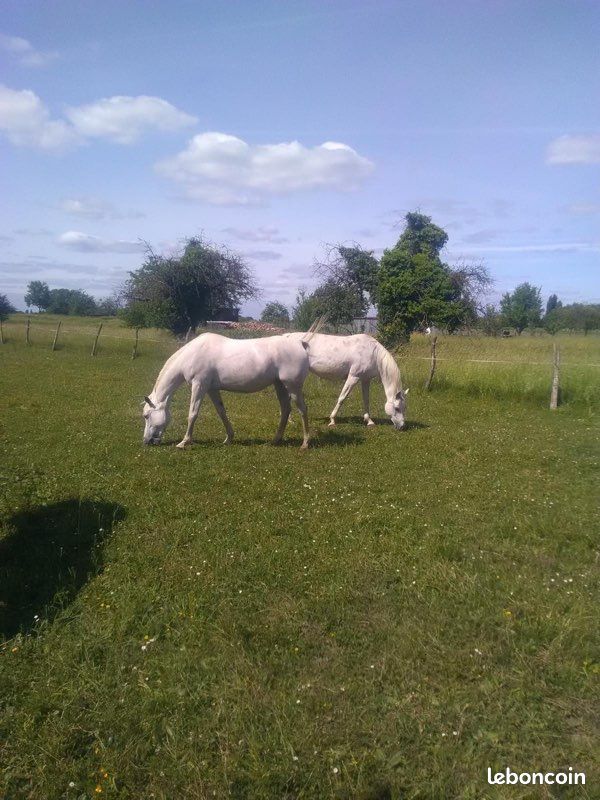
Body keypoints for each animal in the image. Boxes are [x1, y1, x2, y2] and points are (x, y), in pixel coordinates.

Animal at [142, 332, 311, 449]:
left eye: (146, 416)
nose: (146, 441)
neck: (192, 354)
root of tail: (300, 343)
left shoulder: (199, 385)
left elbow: (192, 414)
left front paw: (184, 442)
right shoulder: (211, 389)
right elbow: (221, 412)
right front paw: (229, 438)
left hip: (293, 386)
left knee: (302, 409)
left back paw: (305, 443)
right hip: (280, 385)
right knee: (285, 409)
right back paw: (275, 440)